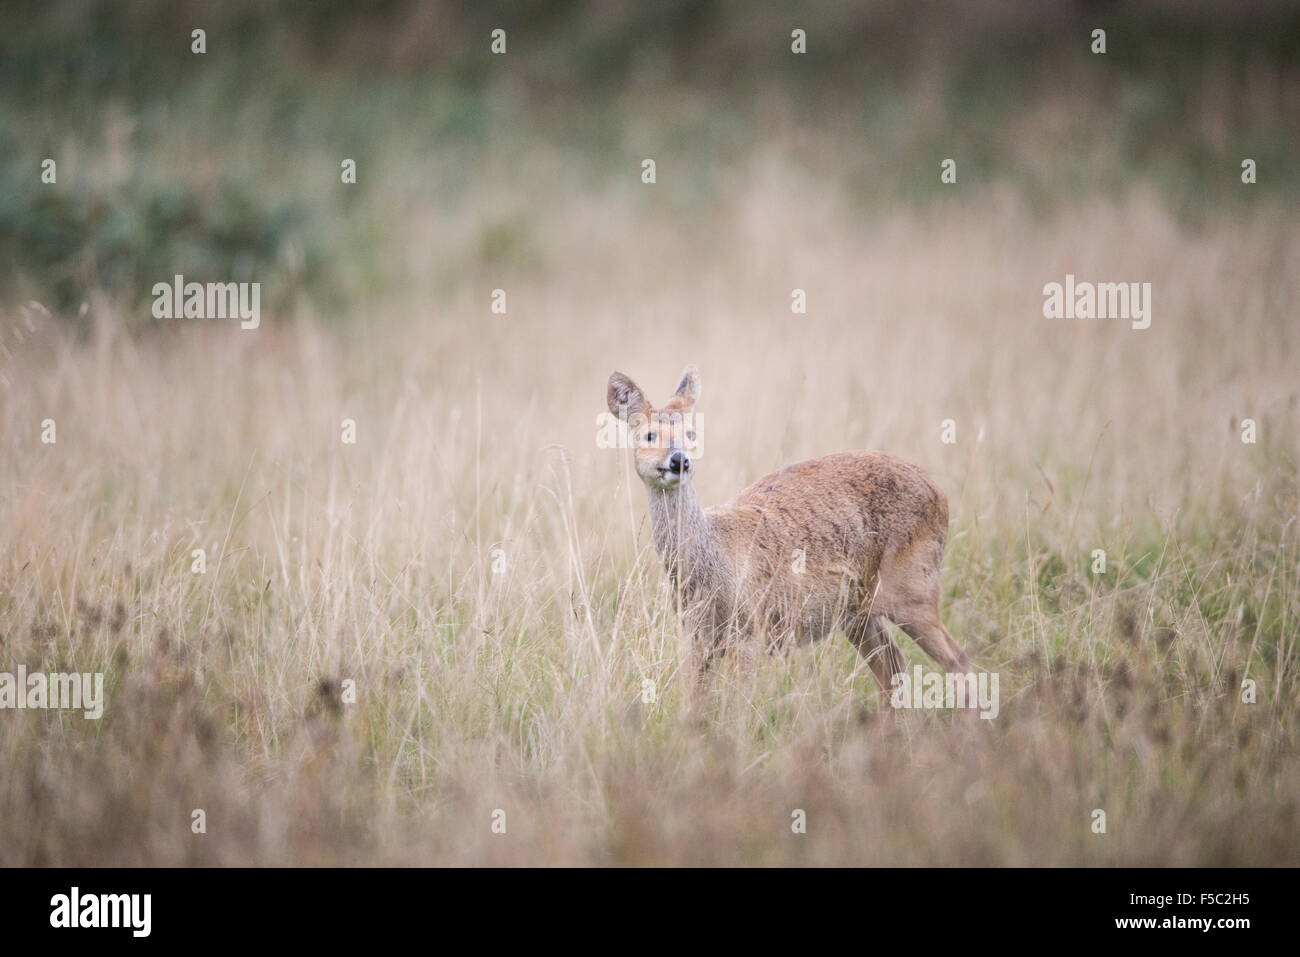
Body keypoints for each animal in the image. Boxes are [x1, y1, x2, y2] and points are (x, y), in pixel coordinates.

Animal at [607, 364, 974, 712]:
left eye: (690, 433)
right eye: (648, 434)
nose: (679, 460)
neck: (714, 558)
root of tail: (939, 492)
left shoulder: (750, 630)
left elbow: (738, 712)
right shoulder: (697, 638)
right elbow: (695, 712)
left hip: (914, 588)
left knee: (959, 661)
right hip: (859, 612)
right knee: (893, 668)